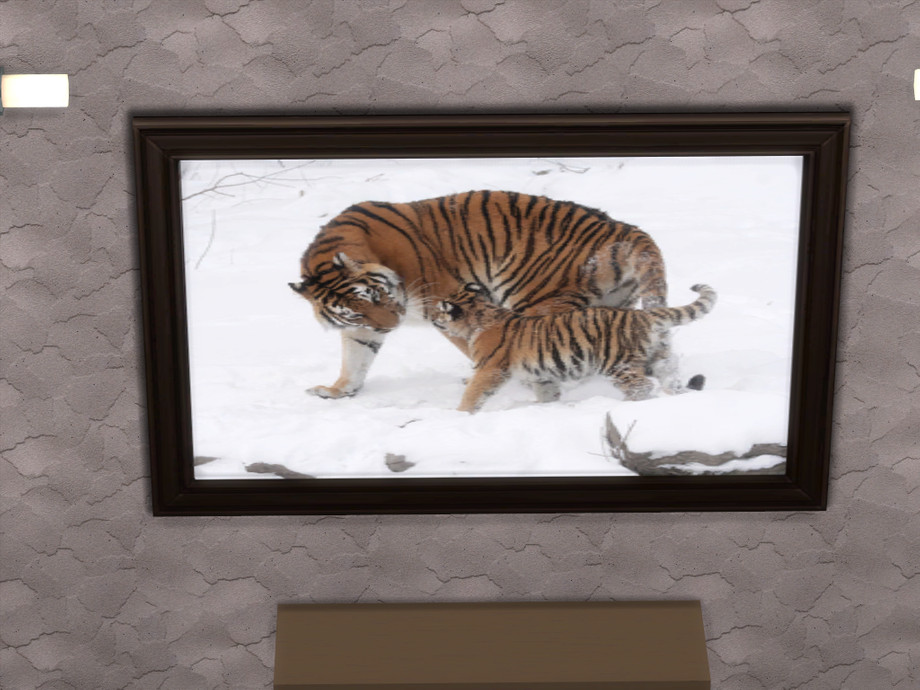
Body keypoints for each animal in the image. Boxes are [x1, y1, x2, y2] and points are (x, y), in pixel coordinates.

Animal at [289, 190, 672, 399]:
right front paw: (339, 391)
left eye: (374, 295)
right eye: (354, 311)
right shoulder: (362, 328)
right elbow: (355, 357)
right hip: (612, 305)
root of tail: (622, 228)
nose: (391, 326)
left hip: (535, 299)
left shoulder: (447, 304)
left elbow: (474, 347)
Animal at [432, 282, 716, 413]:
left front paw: (460, 414)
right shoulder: (542, 374)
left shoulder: (489, 368)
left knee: (641, 387)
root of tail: (643, 314)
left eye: (440, 311)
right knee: (672, 381)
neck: (480, 316)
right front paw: (546, 408)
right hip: (659, 358)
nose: (433, 319)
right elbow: (547, 393)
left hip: (618, 364)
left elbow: (473, 393)